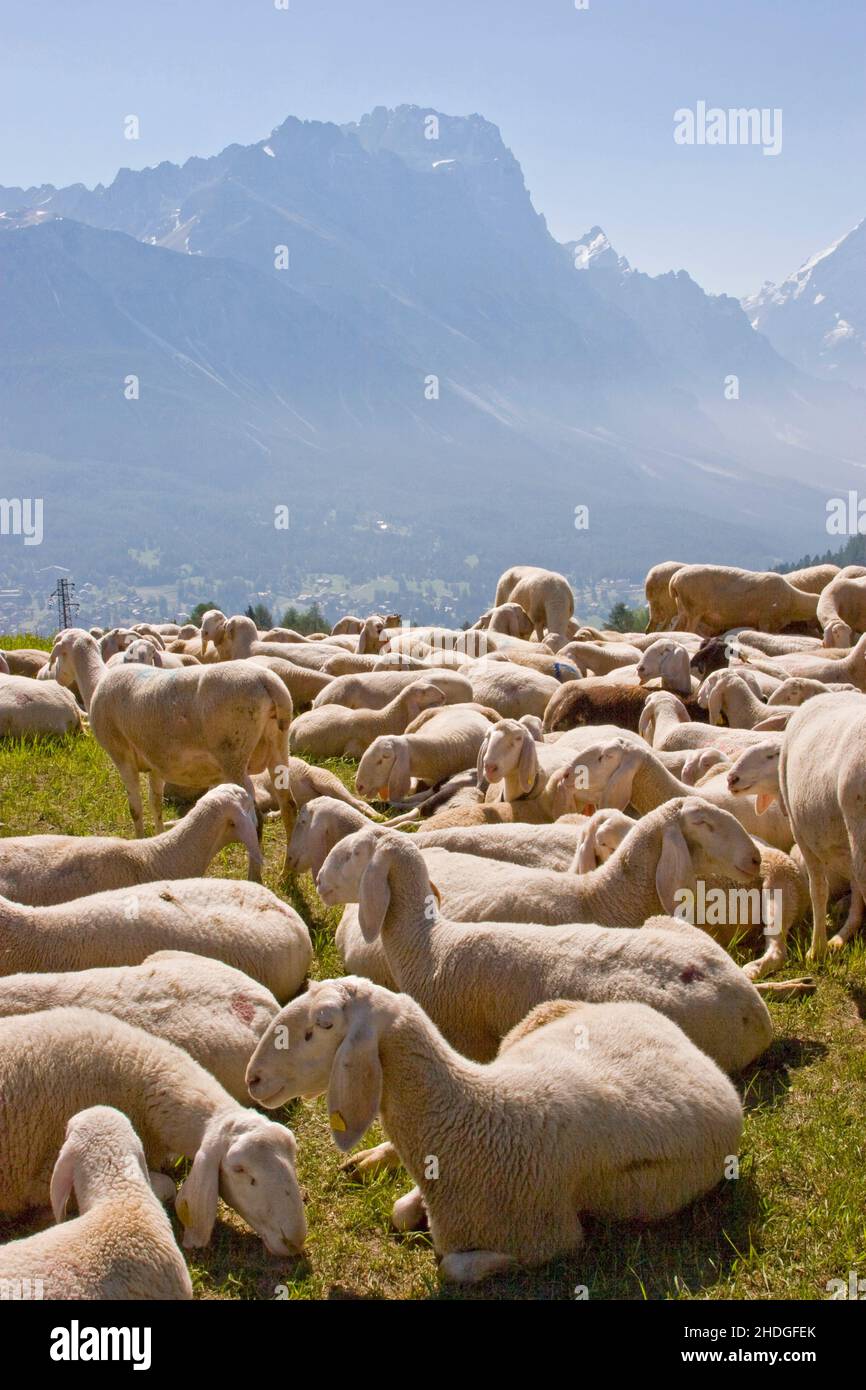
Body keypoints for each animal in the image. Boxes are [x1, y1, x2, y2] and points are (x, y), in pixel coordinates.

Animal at [246, 978, 743, 1283]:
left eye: (324, 1023)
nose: (253, 1078)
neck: (468, 1115)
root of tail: (677, 1037)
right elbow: (401, 1212)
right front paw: (405, 1194)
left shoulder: (551, 1239)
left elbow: (451, 1264)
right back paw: (370, 1159)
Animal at [668, 565, 820, 636]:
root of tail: (674, 580)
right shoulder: (765, 620)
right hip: (693, 610)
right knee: (688, 630)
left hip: (682, 609)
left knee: (676, 630)